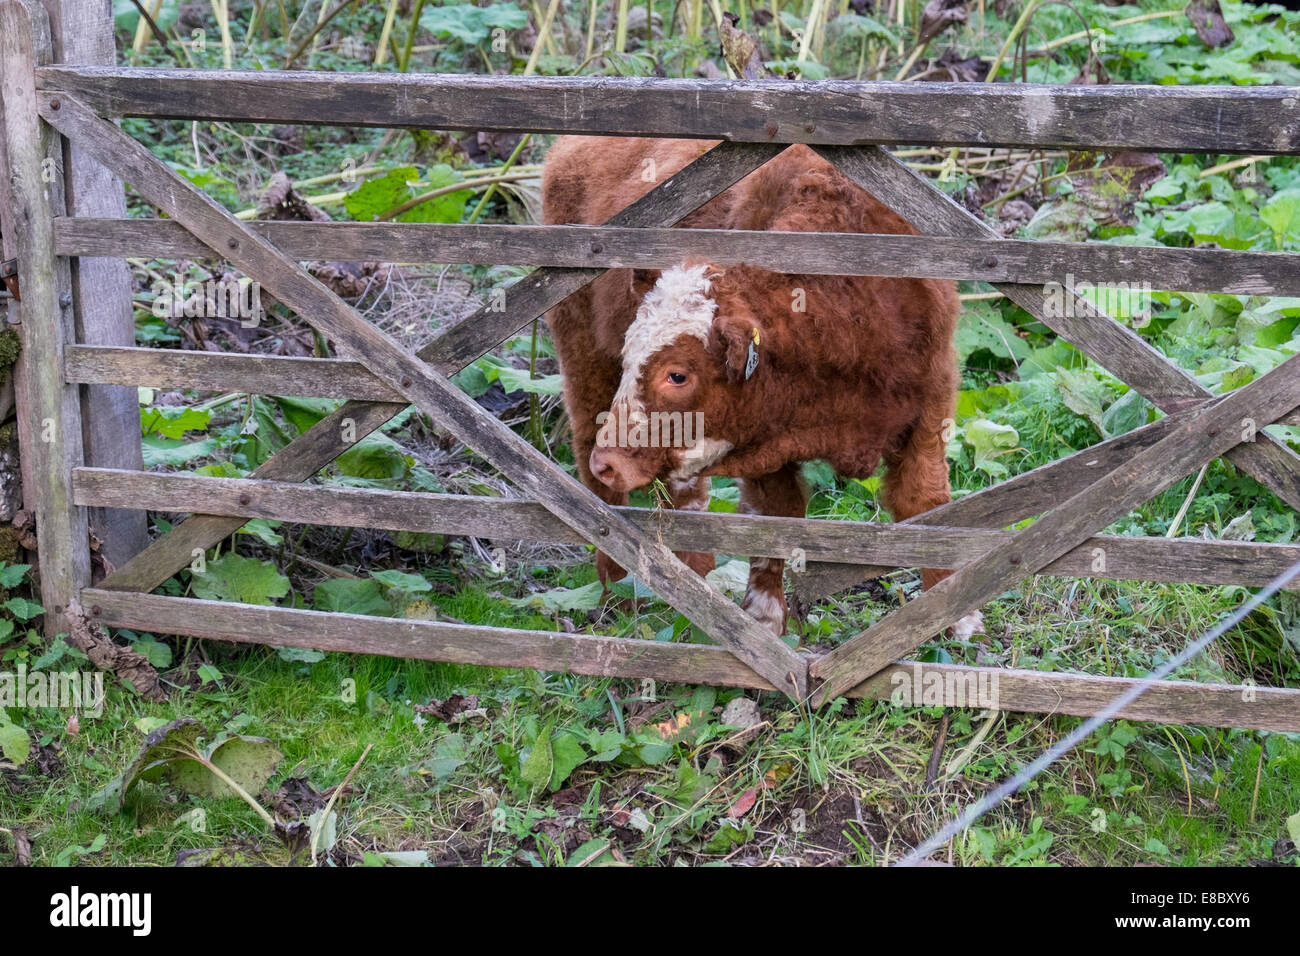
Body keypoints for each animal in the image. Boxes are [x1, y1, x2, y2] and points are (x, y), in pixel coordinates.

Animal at [541, 136, 983, 641]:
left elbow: (924, 503)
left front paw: (955, 614)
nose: (610, 461)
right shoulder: (766, 445)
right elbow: (774, 517)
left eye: (677, 374)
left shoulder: (931, 407)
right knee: (599, 478)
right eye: (629, 354)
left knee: (686, 496)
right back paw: (621, 591)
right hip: (583, 363)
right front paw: (763, 619)